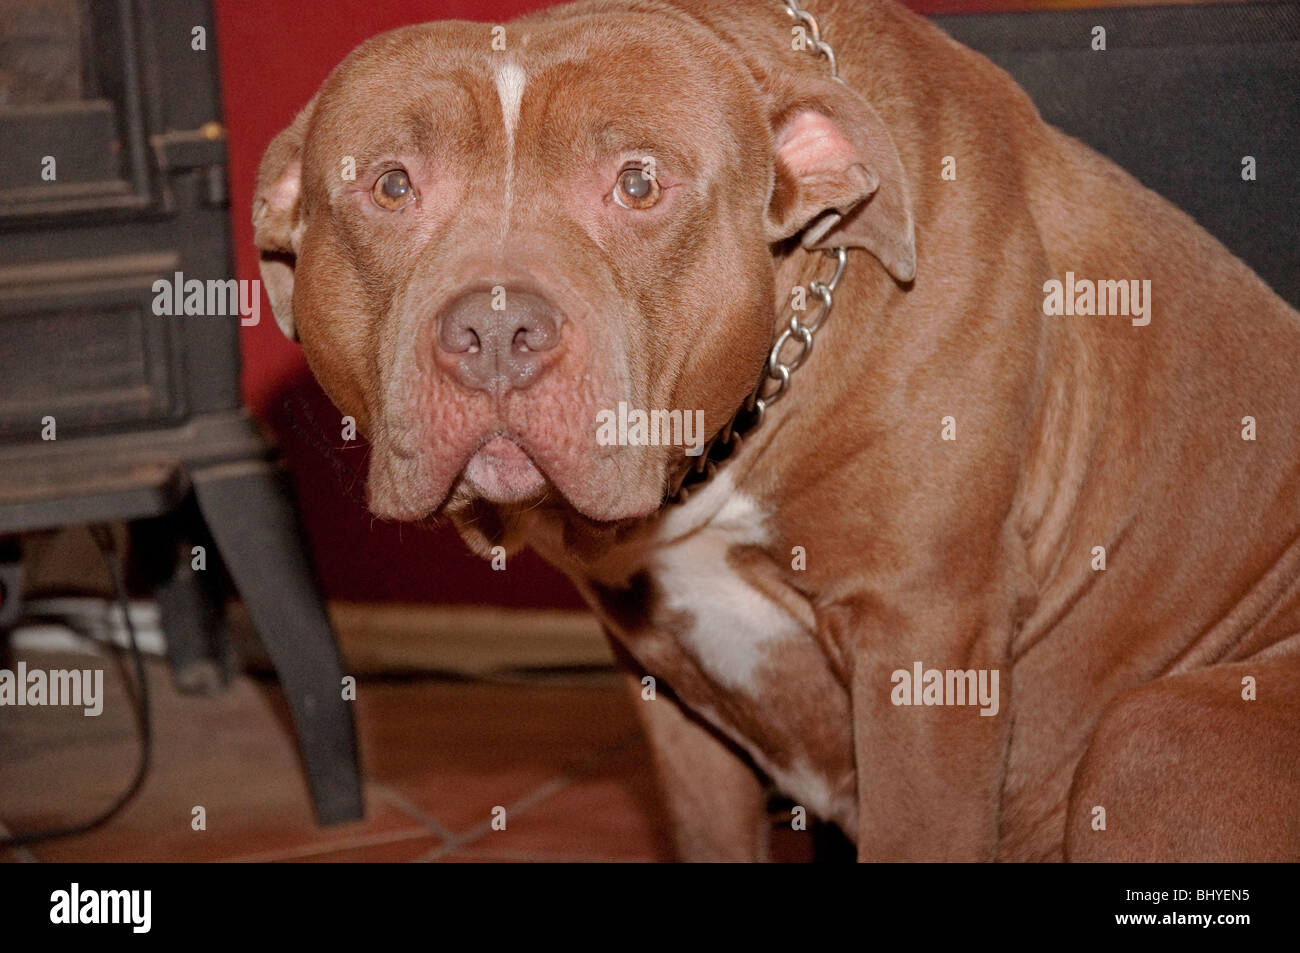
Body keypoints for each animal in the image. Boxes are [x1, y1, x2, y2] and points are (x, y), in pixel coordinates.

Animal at [253, 0, 1300, 863]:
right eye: (392, 186)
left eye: (638, 183)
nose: (497, 331)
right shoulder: (672, 702)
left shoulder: (926, 653)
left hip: (1153, 734)